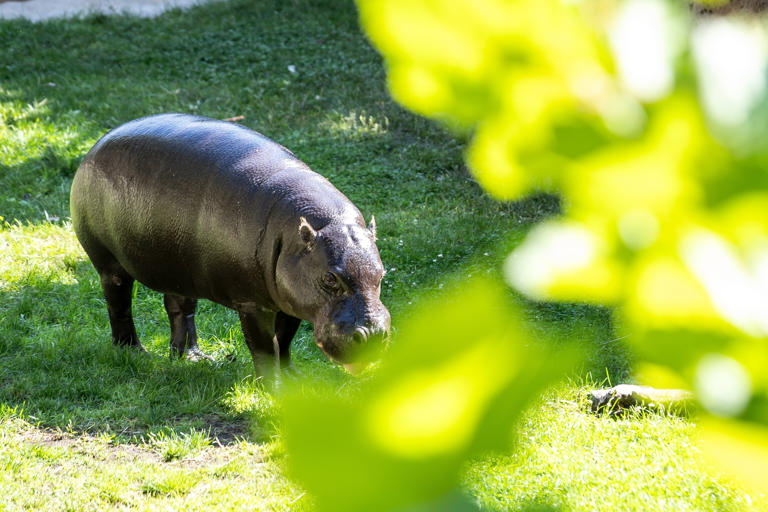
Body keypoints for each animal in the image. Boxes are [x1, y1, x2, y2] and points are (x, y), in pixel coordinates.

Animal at [70, 114, 391, 376]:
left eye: (382, 273)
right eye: (329, 278)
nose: (374, 335)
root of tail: (95, 147)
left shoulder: (291, 296)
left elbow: (285, 340)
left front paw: (293, 379)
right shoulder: (252, 303)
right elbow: (264, 348)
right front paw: (275, 390)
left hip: (179, 268)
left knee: (179, 307)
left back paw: (192, 357)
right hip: (109, 262)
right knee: (118, 302)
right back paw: (134, 352)